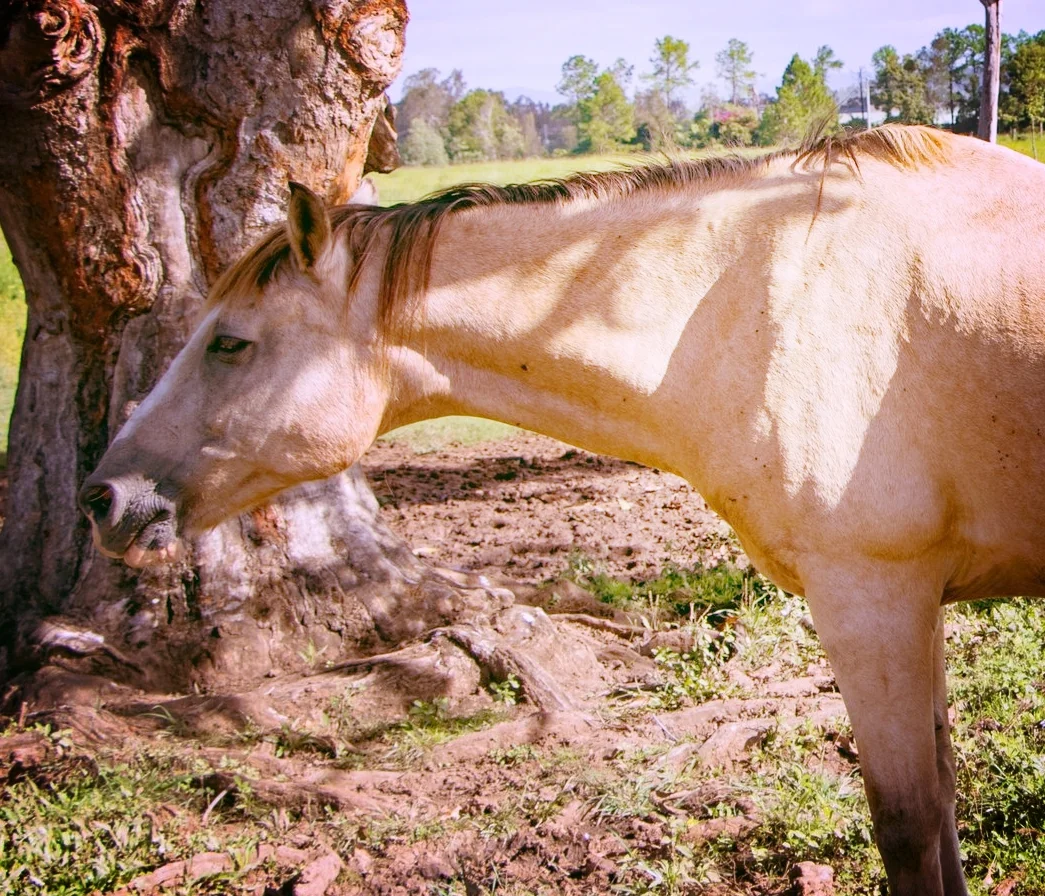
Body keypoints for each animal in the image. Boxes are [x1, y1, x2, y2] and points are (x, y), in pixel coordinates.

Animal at [79, 125, 1045, 895]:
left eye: (229, 343)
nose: (104, 497)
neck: (762, 300)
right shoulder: (911, 606)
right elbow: (941, 803)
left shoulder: (870, 600)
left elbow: (907, 826)